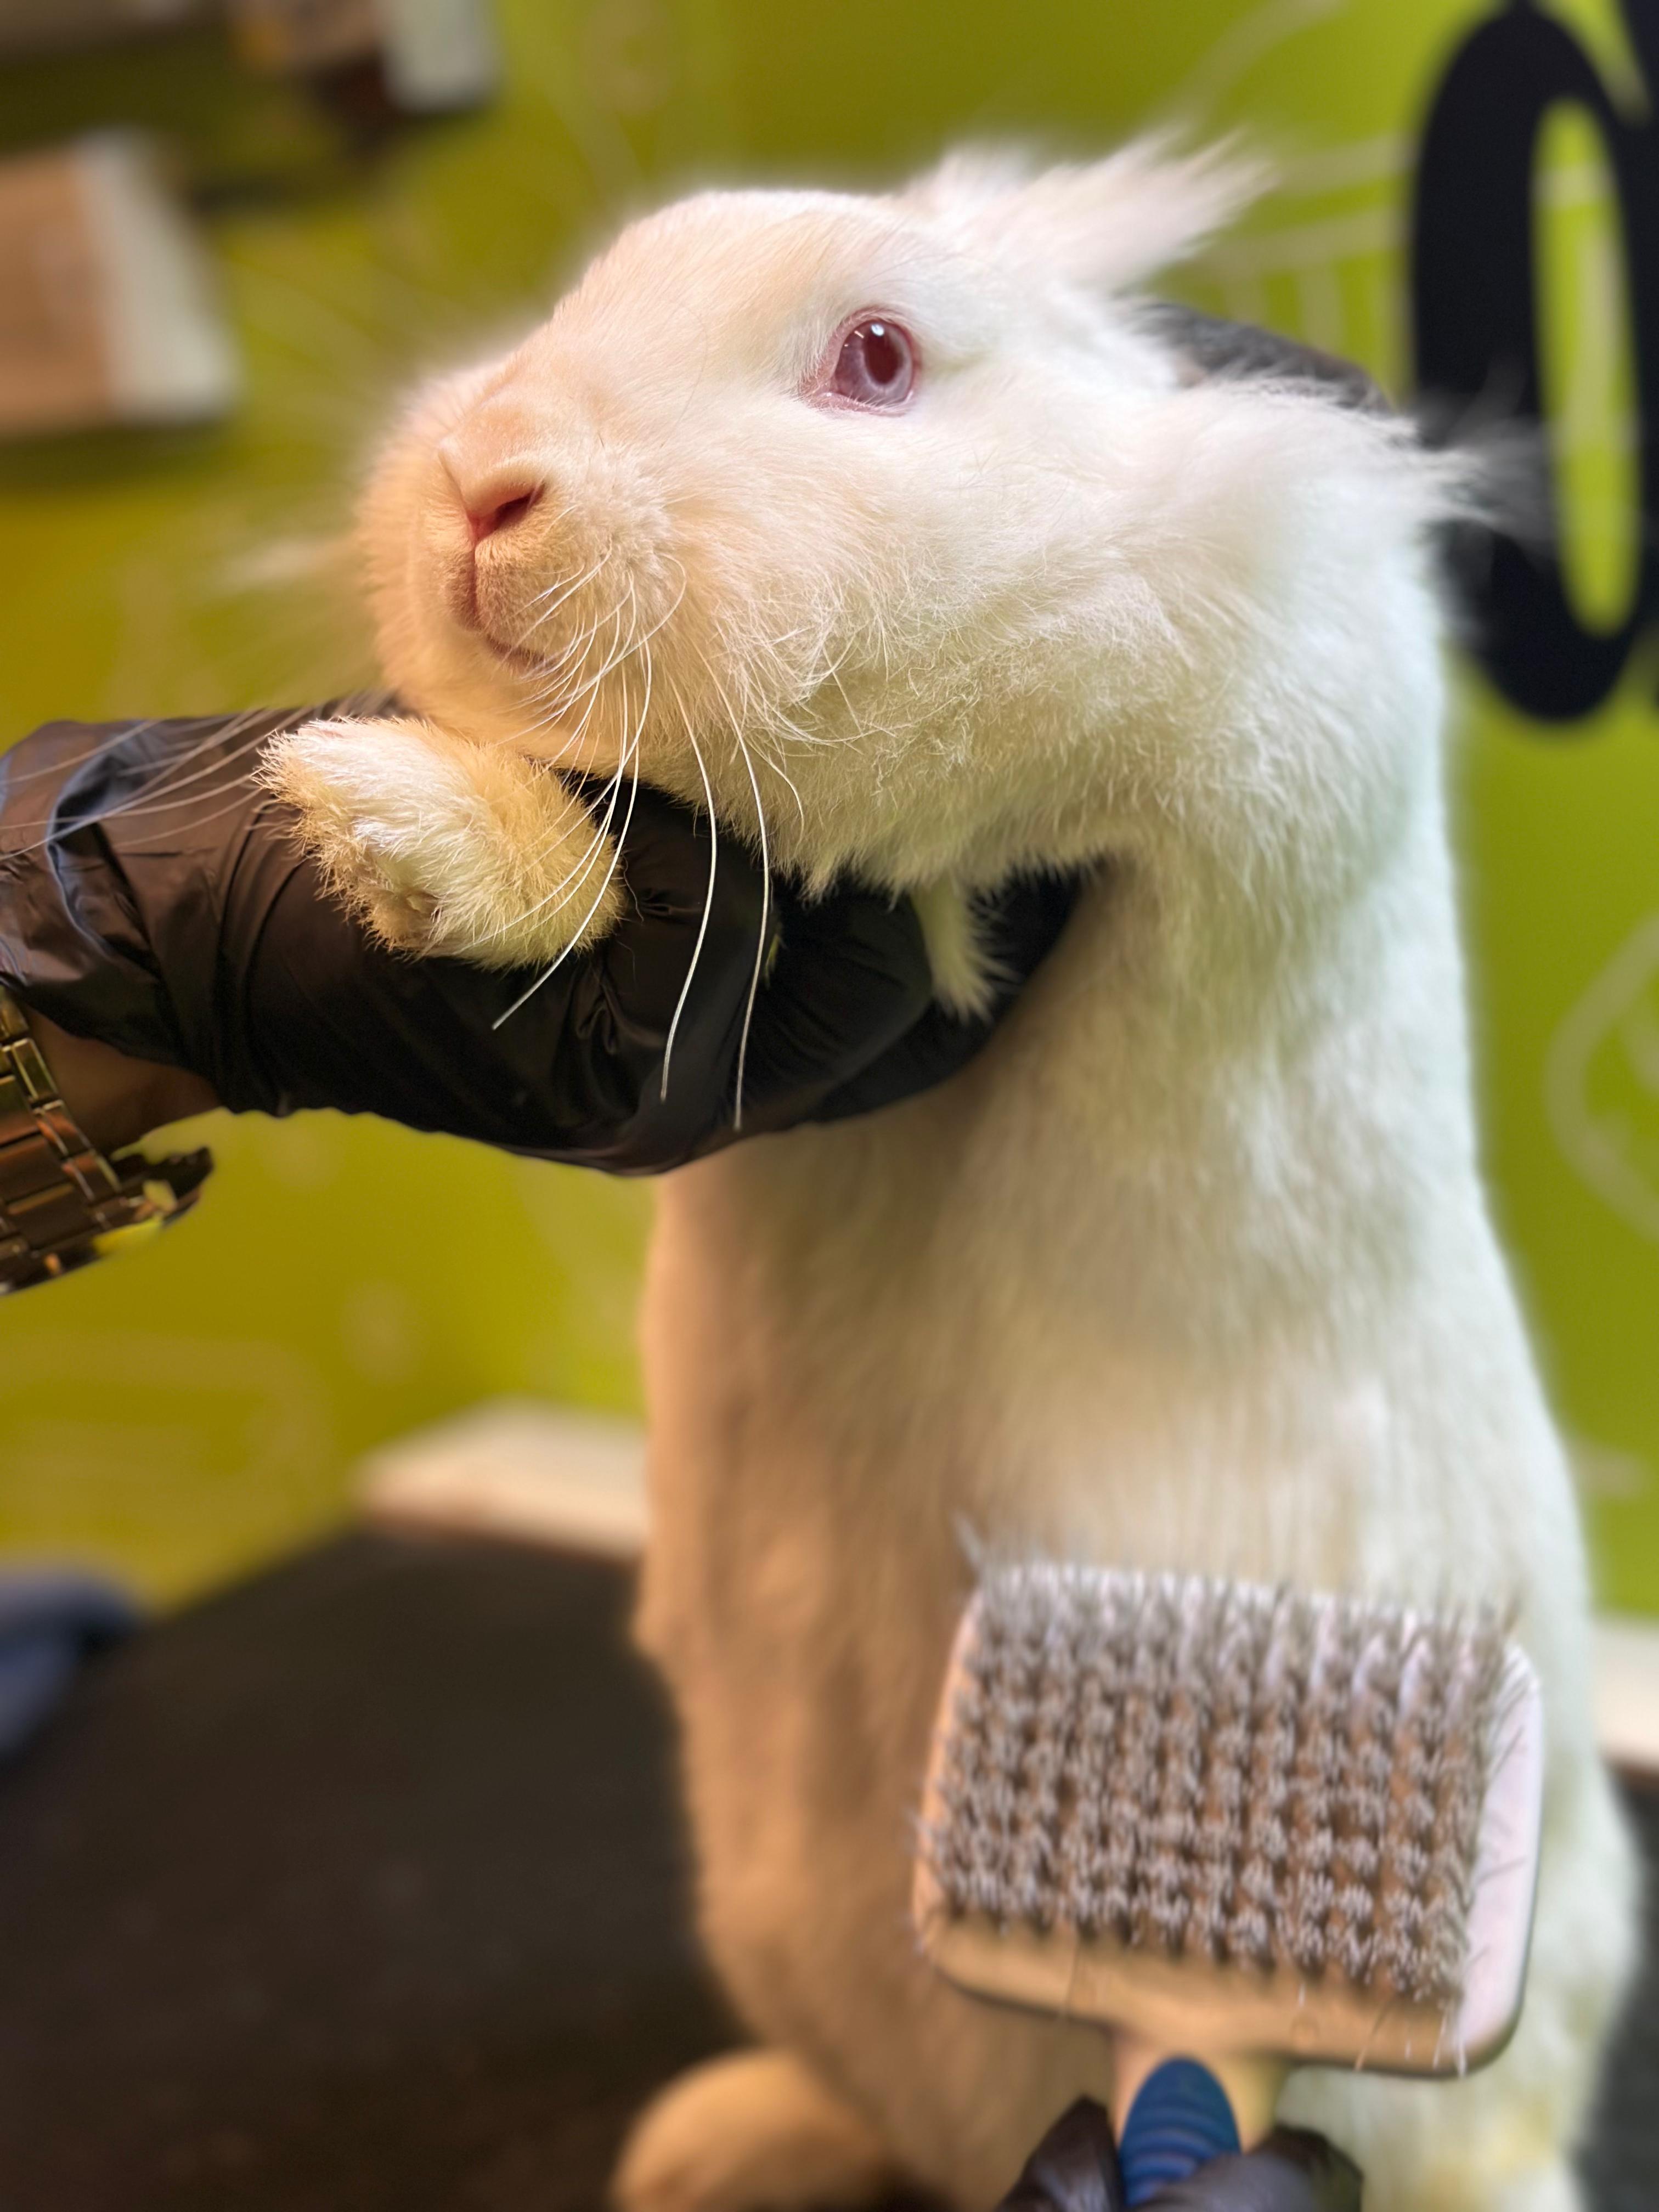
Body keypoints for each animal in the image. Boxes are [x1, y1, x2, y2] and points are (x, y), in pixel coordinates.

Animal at [264, 141, 1638, 2212]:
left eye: (880, 357)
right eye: (592, 289)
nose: (486, 485)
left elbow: (688, 859)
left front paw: (388, 827)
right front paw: (356, 806)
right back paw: (704, 2146)